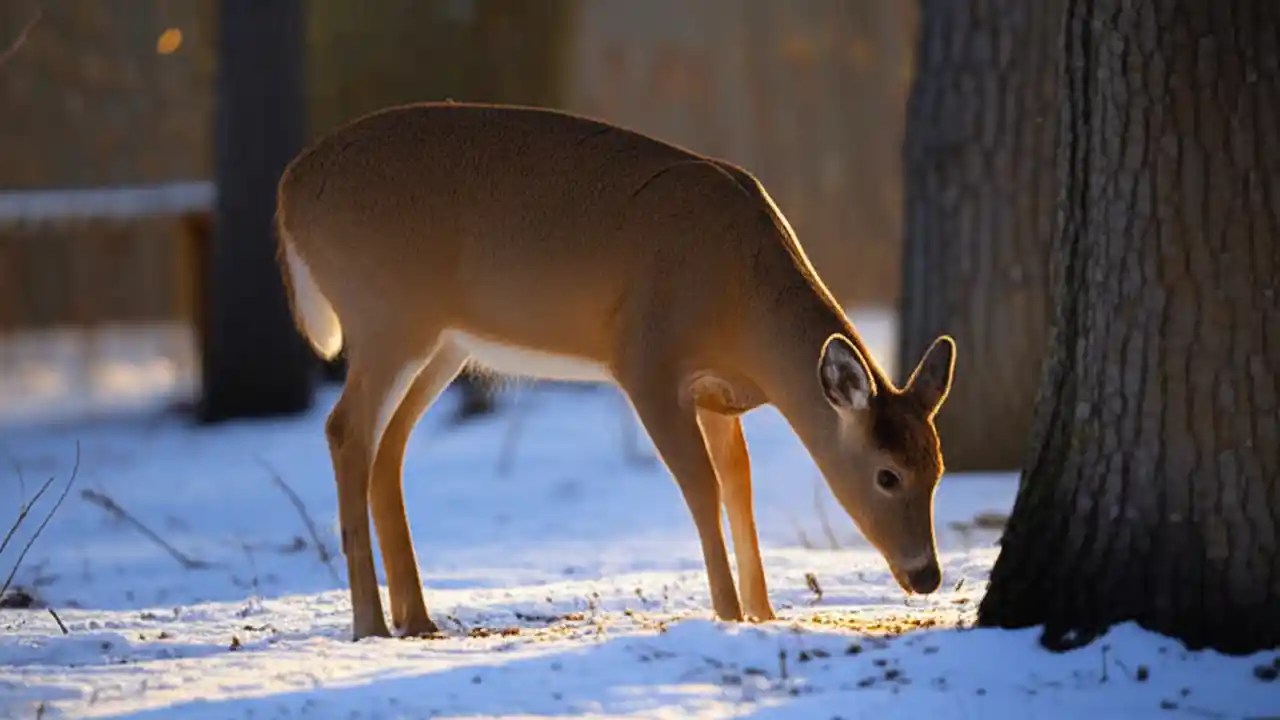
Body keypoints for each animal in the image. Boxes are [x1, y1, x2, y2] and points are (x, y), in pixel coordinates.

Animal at [275, 102, 957, 640]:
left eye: (938, 469)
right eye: (887, 475)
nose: (926, 575)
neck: (741, 302)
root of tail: (289, 187)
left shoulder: (715, 391)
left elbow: (740, 485)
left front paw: (762, 613)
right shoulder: (646, 359)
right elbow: (701, 486)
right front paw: (729, 614)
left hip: (443, 343)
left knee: (388, 445)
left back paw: (415, 619)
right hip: (385, 315)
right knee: (346, 430)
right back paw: (369, 623)